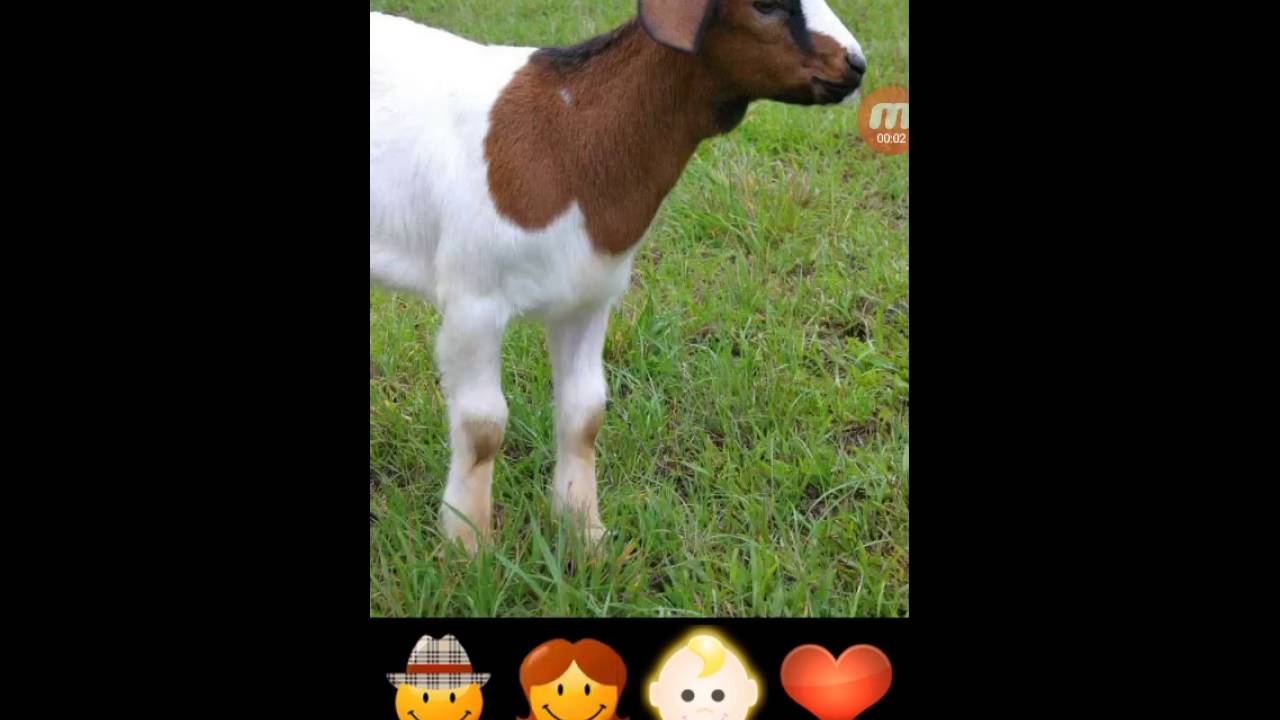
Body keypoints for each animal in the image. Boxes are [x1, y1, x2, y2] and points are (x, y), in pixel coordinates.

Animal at [370, 0, 866, 554]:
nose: (855, 64)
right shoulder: (473, 300)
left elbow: (585, 415)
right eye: (763, 5)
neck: (567, 138)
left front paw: (587, 537)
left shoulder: (589, 298)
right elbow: (483, 428)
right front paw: (468, 547)